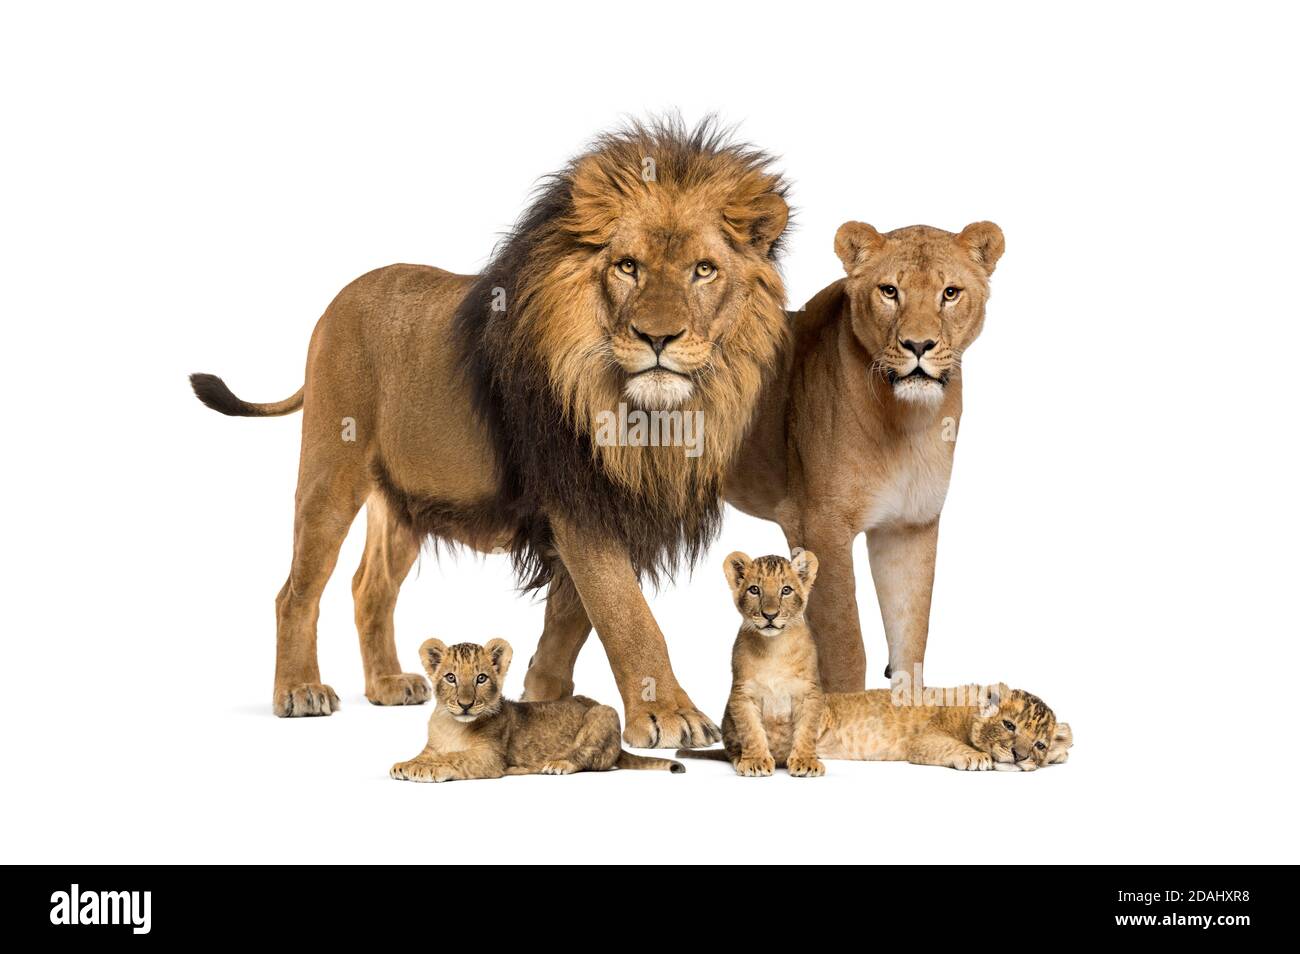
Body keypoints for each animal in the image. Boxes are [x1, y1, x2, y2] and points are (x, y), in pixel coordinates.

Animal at [190, 118, 791, 747]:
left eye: (704, 269)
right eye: (628, 266)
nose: (658, 338)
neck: (645, 412)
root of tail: (337, 301)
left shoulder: (599, 506)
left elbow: (572, 616)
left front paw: (544, 697)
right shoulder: (578, 500)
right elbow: (626, 614)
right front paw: (670, 714)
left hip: (406, 501)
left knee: (369, 587)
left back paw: (386, 685)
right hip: (331, 472)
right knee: (296, 591)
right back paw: (299, 690)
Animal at [390, 639, 683, 781]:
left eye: (480, 678)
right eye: (450, 678)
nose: (465, 704)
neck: (452, 725)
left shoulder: (489, 758)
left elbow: (454, 758)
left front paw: (425, 770)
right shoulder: (431, 748)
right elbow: (424, 756)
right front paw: (404, 765)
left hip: (605, 712)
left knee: (587, 758)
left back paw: (557, 765)